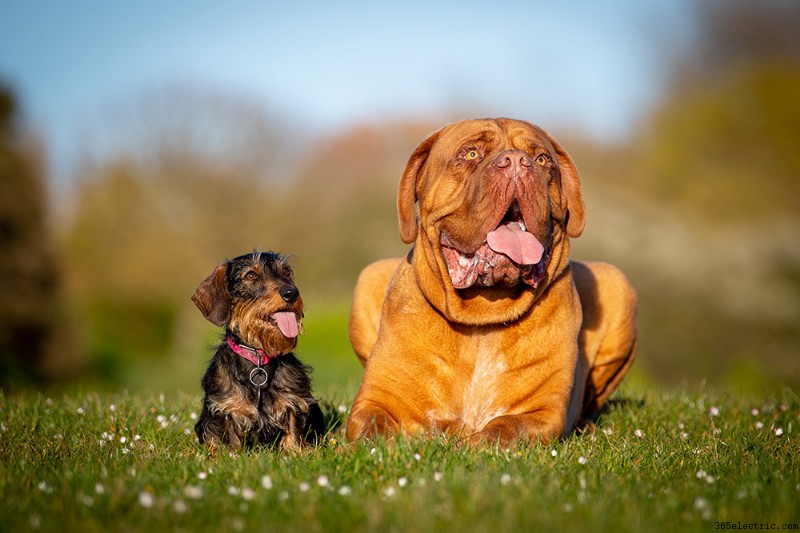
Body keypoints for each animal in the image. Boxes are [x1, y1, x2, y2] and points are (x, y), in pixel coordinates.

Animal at [189, 251, 324, 450]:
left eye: (286, 272)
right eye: (251, 275)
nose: (291, 292)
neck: (258, 356)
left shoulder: (295, 400)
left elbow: (294, 432)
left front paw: (296, 451)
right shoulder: (224, 408)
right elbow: (228, 441)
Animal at [346, 117, 636, 444]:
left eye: (542, 159)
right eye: (471, 154)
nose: (517, 162)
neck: (481, 320)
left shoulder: (542, 413)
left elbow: (503, 429)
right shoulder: (376, 401)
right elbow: (373, 428)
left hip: (617, 284)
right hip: (370, 276)